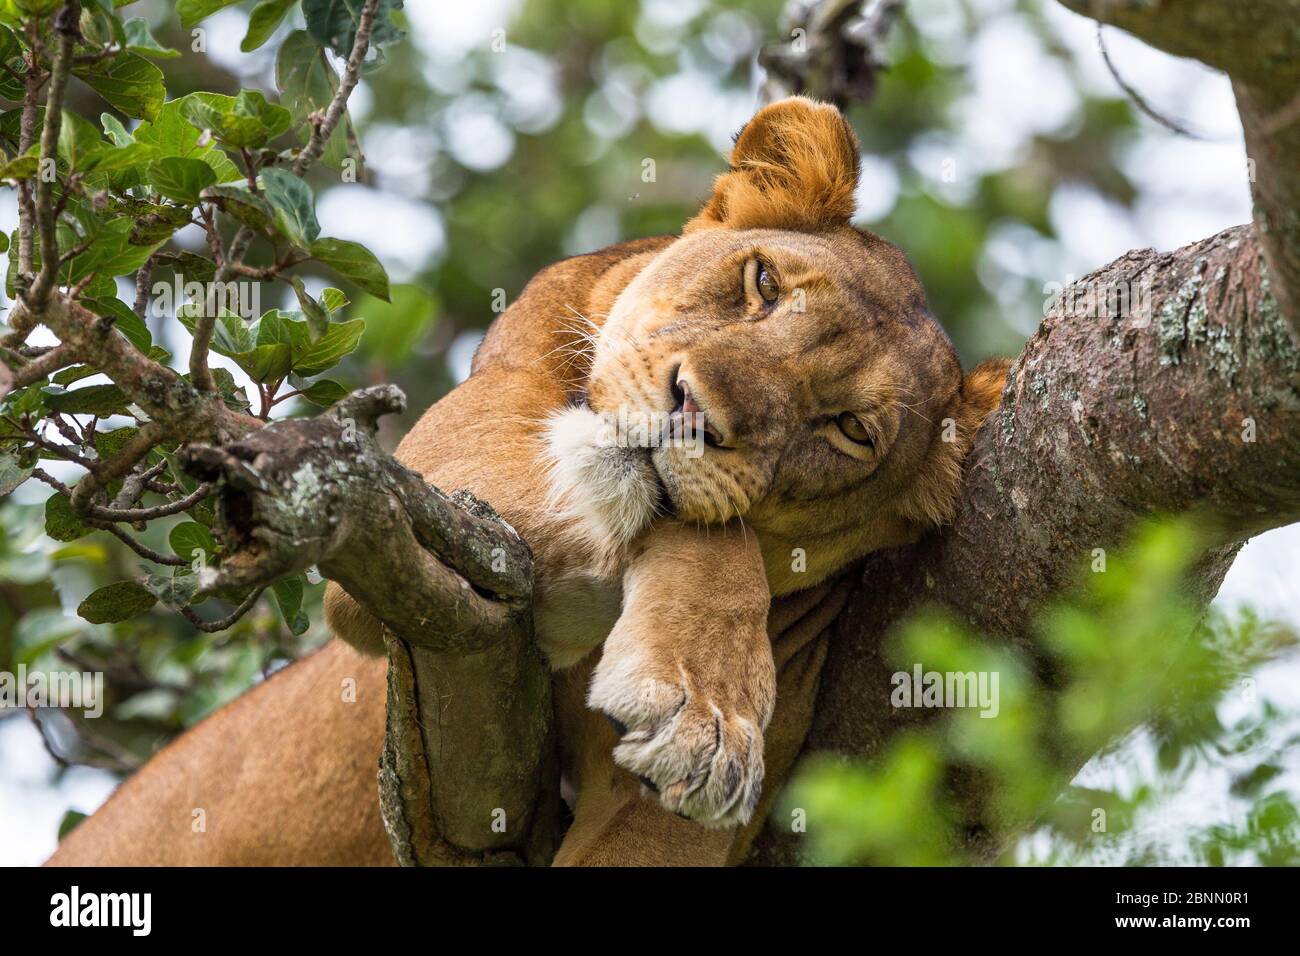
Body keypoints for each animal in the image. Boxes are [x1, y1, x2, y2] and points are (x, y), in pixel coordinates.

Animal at [48, 97, 1009, 867]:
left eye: (850, 430)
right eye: (763, 282)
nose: (693, 412)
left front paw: (704, 709)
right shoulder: (423, 479)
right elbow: (712, 541)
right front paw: (707, 701)